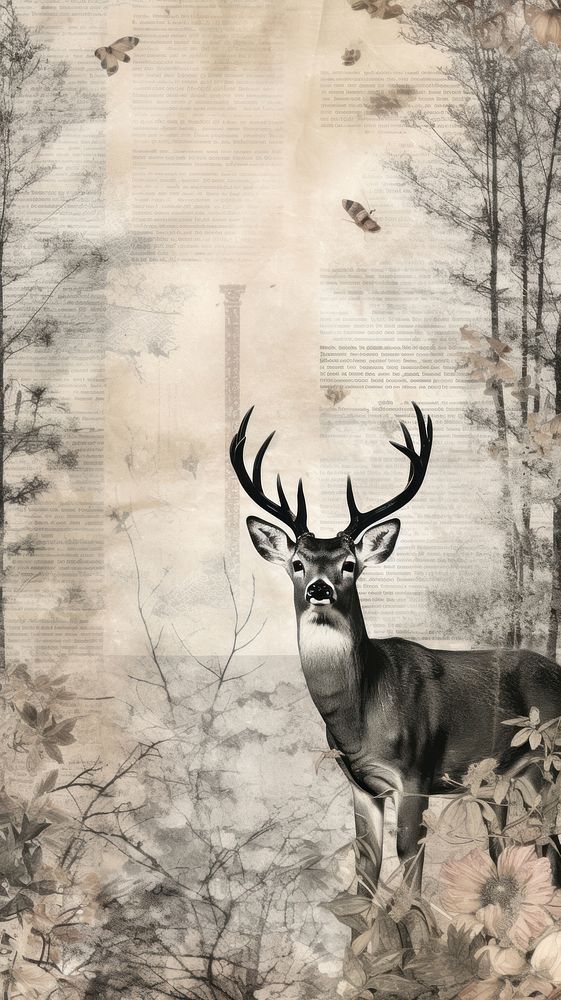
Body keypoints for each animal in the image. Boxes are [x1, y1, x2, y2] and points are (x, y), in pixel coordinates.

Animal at [230, 403, 561, 895]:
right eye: (297, 563)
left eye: (350, 563)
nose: (319, 589)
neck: (360, 717)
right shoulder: (362, 785)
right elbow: (366, 866)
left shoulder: (417, 771)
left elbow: (409, 862)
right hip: (502, 783)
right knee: (512, 848)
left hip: (549, 764)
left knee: (550, 845)